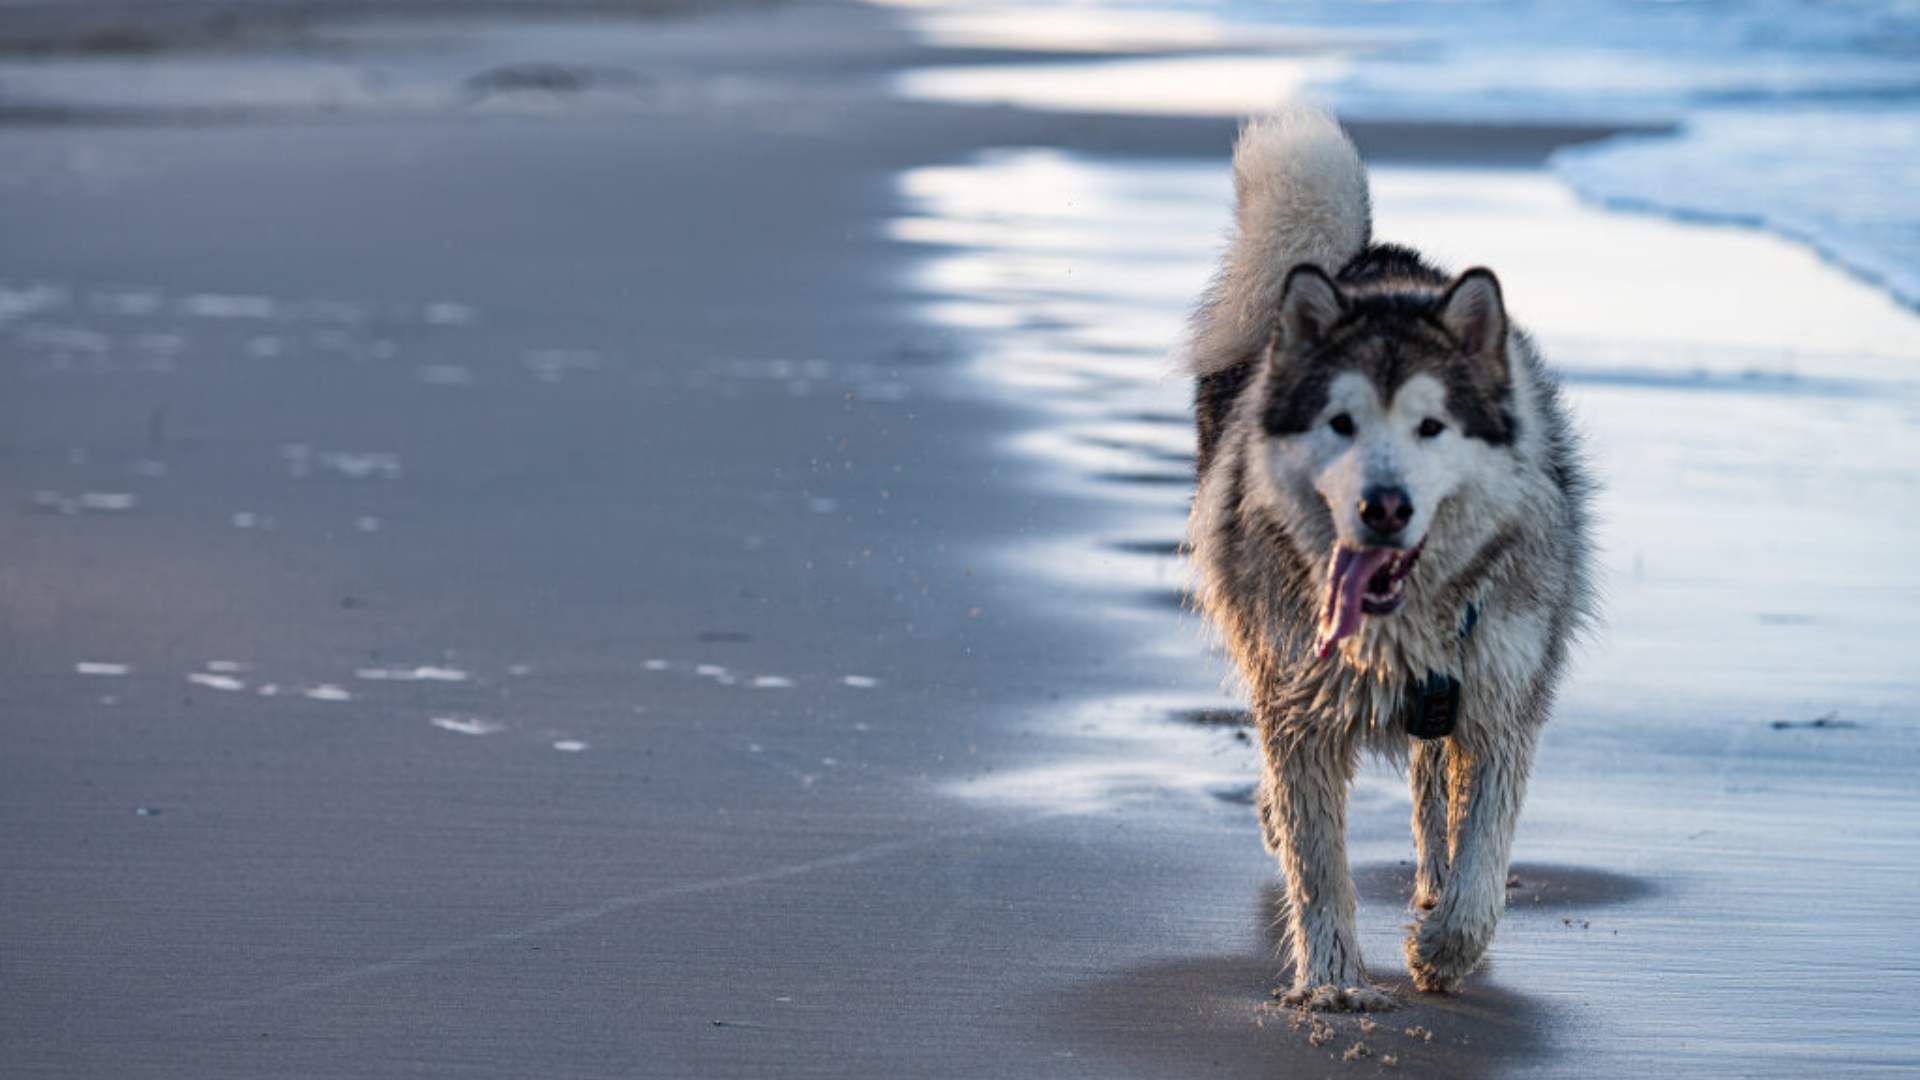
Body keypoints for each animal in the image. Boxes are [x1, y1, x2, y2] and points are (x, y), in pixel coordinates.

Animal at [1184, 106, 1595, 1010]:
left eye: (1430, 426)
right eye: (1340, 422)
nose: (1385, 507)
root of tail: (1365, 260)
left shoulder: (1501, 700)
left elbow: (1484, 858)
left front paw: (1444, 947)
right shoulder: (1296, 705)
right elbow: (1318, 865)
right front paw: (1335, 982)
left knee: (1433, 793)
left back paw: (1433, 884)